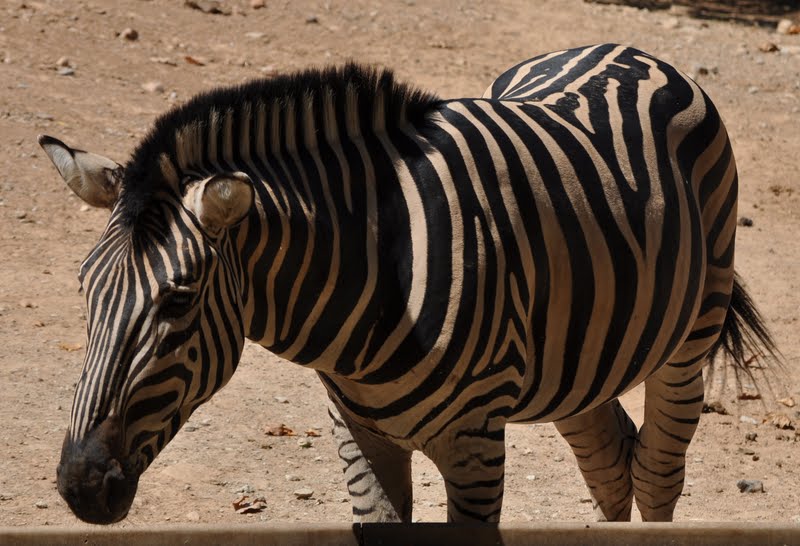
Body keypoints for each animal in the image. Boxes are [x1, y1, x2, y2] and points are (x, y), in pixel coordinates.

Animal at [40, 43, 775, 525]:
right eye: (85, 294)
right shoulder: (358, 436)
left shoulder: (475, 441)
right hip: (577, 359)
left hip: (687, 339)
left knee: (656, 475)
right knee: (610, 466)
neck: (375, 273)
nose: (80, 487)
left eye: (179, 300)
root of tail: (624, 49)